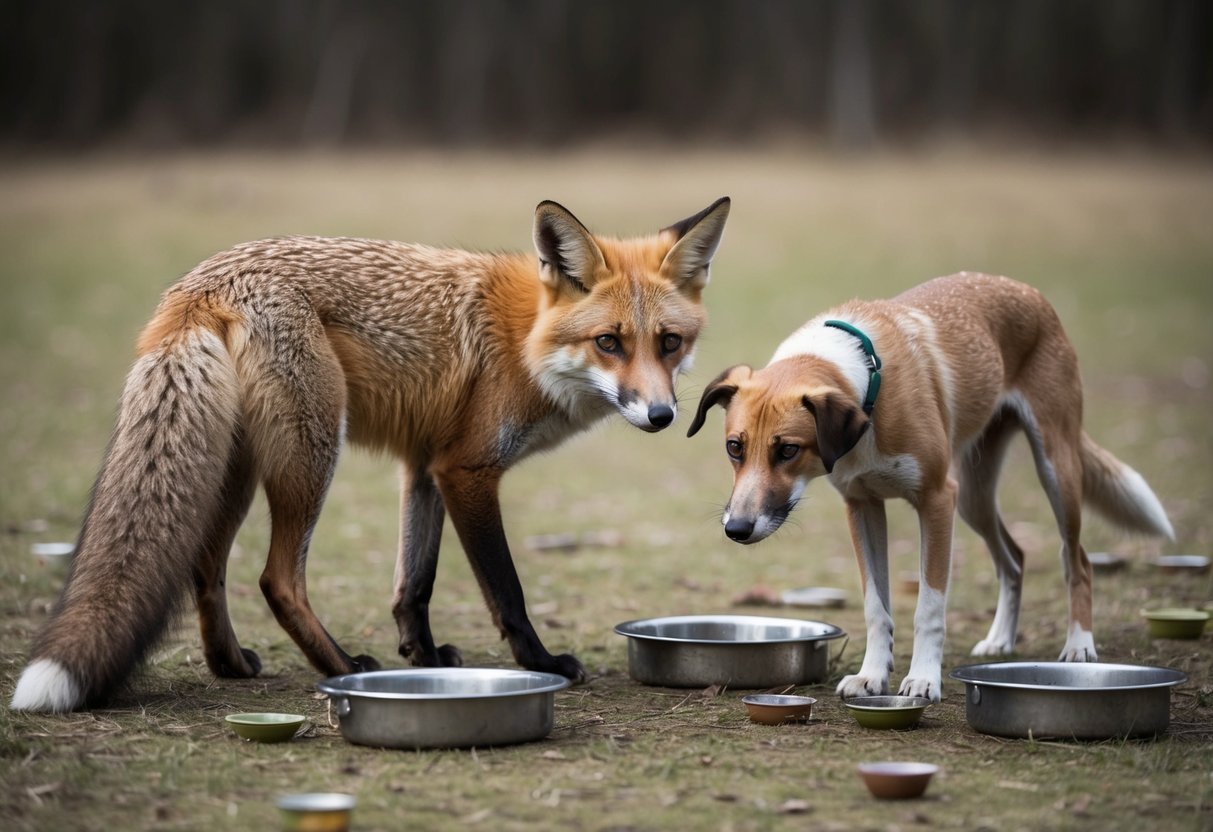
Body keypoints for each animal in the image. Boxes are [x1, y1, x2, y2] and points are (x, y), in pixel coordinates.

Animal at [11, 197, 731, 712]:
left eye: (668, 343)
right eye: (609, 342)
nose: (662, 415)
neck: (526, 340)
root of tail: (202, 285)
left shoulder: (425, 466)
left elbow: (414, 582)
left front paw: (424, 658)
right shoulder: (467, 470)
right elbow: (506, 589)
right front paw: (542, 664)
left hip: (235, 467)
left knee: (206, 567)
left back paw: (232, 664)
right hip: (310, 453)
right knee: (276, 578)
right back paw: (341, 670)